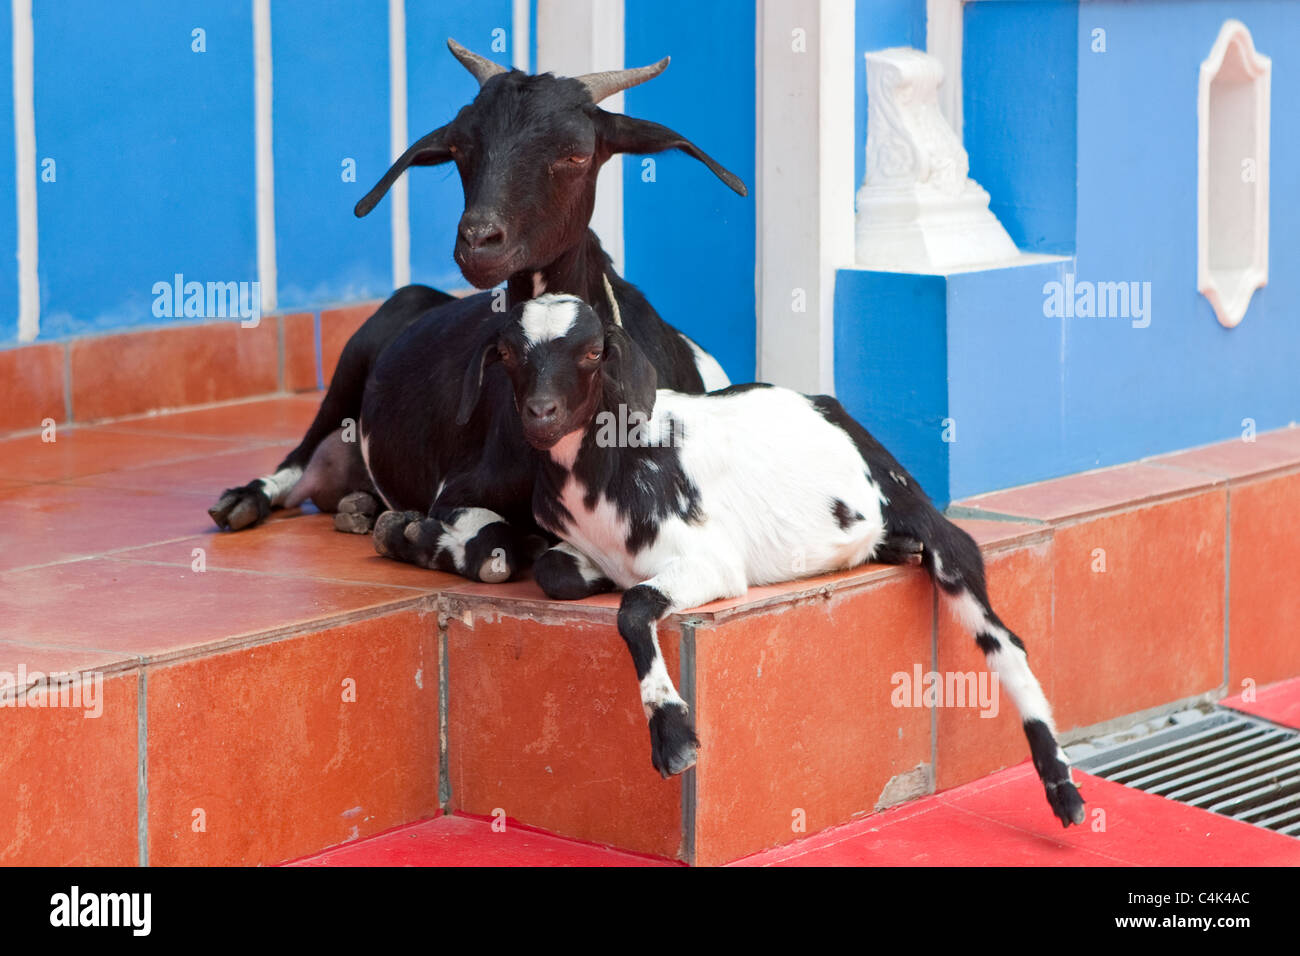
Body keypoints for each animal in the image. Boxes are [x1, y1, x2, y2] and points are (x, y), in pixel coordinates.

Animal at [208, 40, 744, 587]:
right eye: (461, 148)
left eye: (576, 153)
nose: (479, 240)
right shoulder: (459, 489)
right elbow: (493, 553)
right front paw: (410, 534)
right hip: (353, 363)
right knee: (300, 458)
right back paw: (248, 502)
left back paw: (357, 507)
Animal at [461, 293, 1087, 829]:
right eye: (510, 354)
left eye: (592, 352)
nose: (541, 413)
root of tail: (828, 406)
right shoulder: (583, 548)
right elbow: (556, 572)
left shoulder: (712, 560)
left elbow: (635, 606)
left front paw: (672, 733)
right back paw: (893, 548)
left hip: (916, 508)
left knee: (1002, 634)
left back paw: (1062, 787)